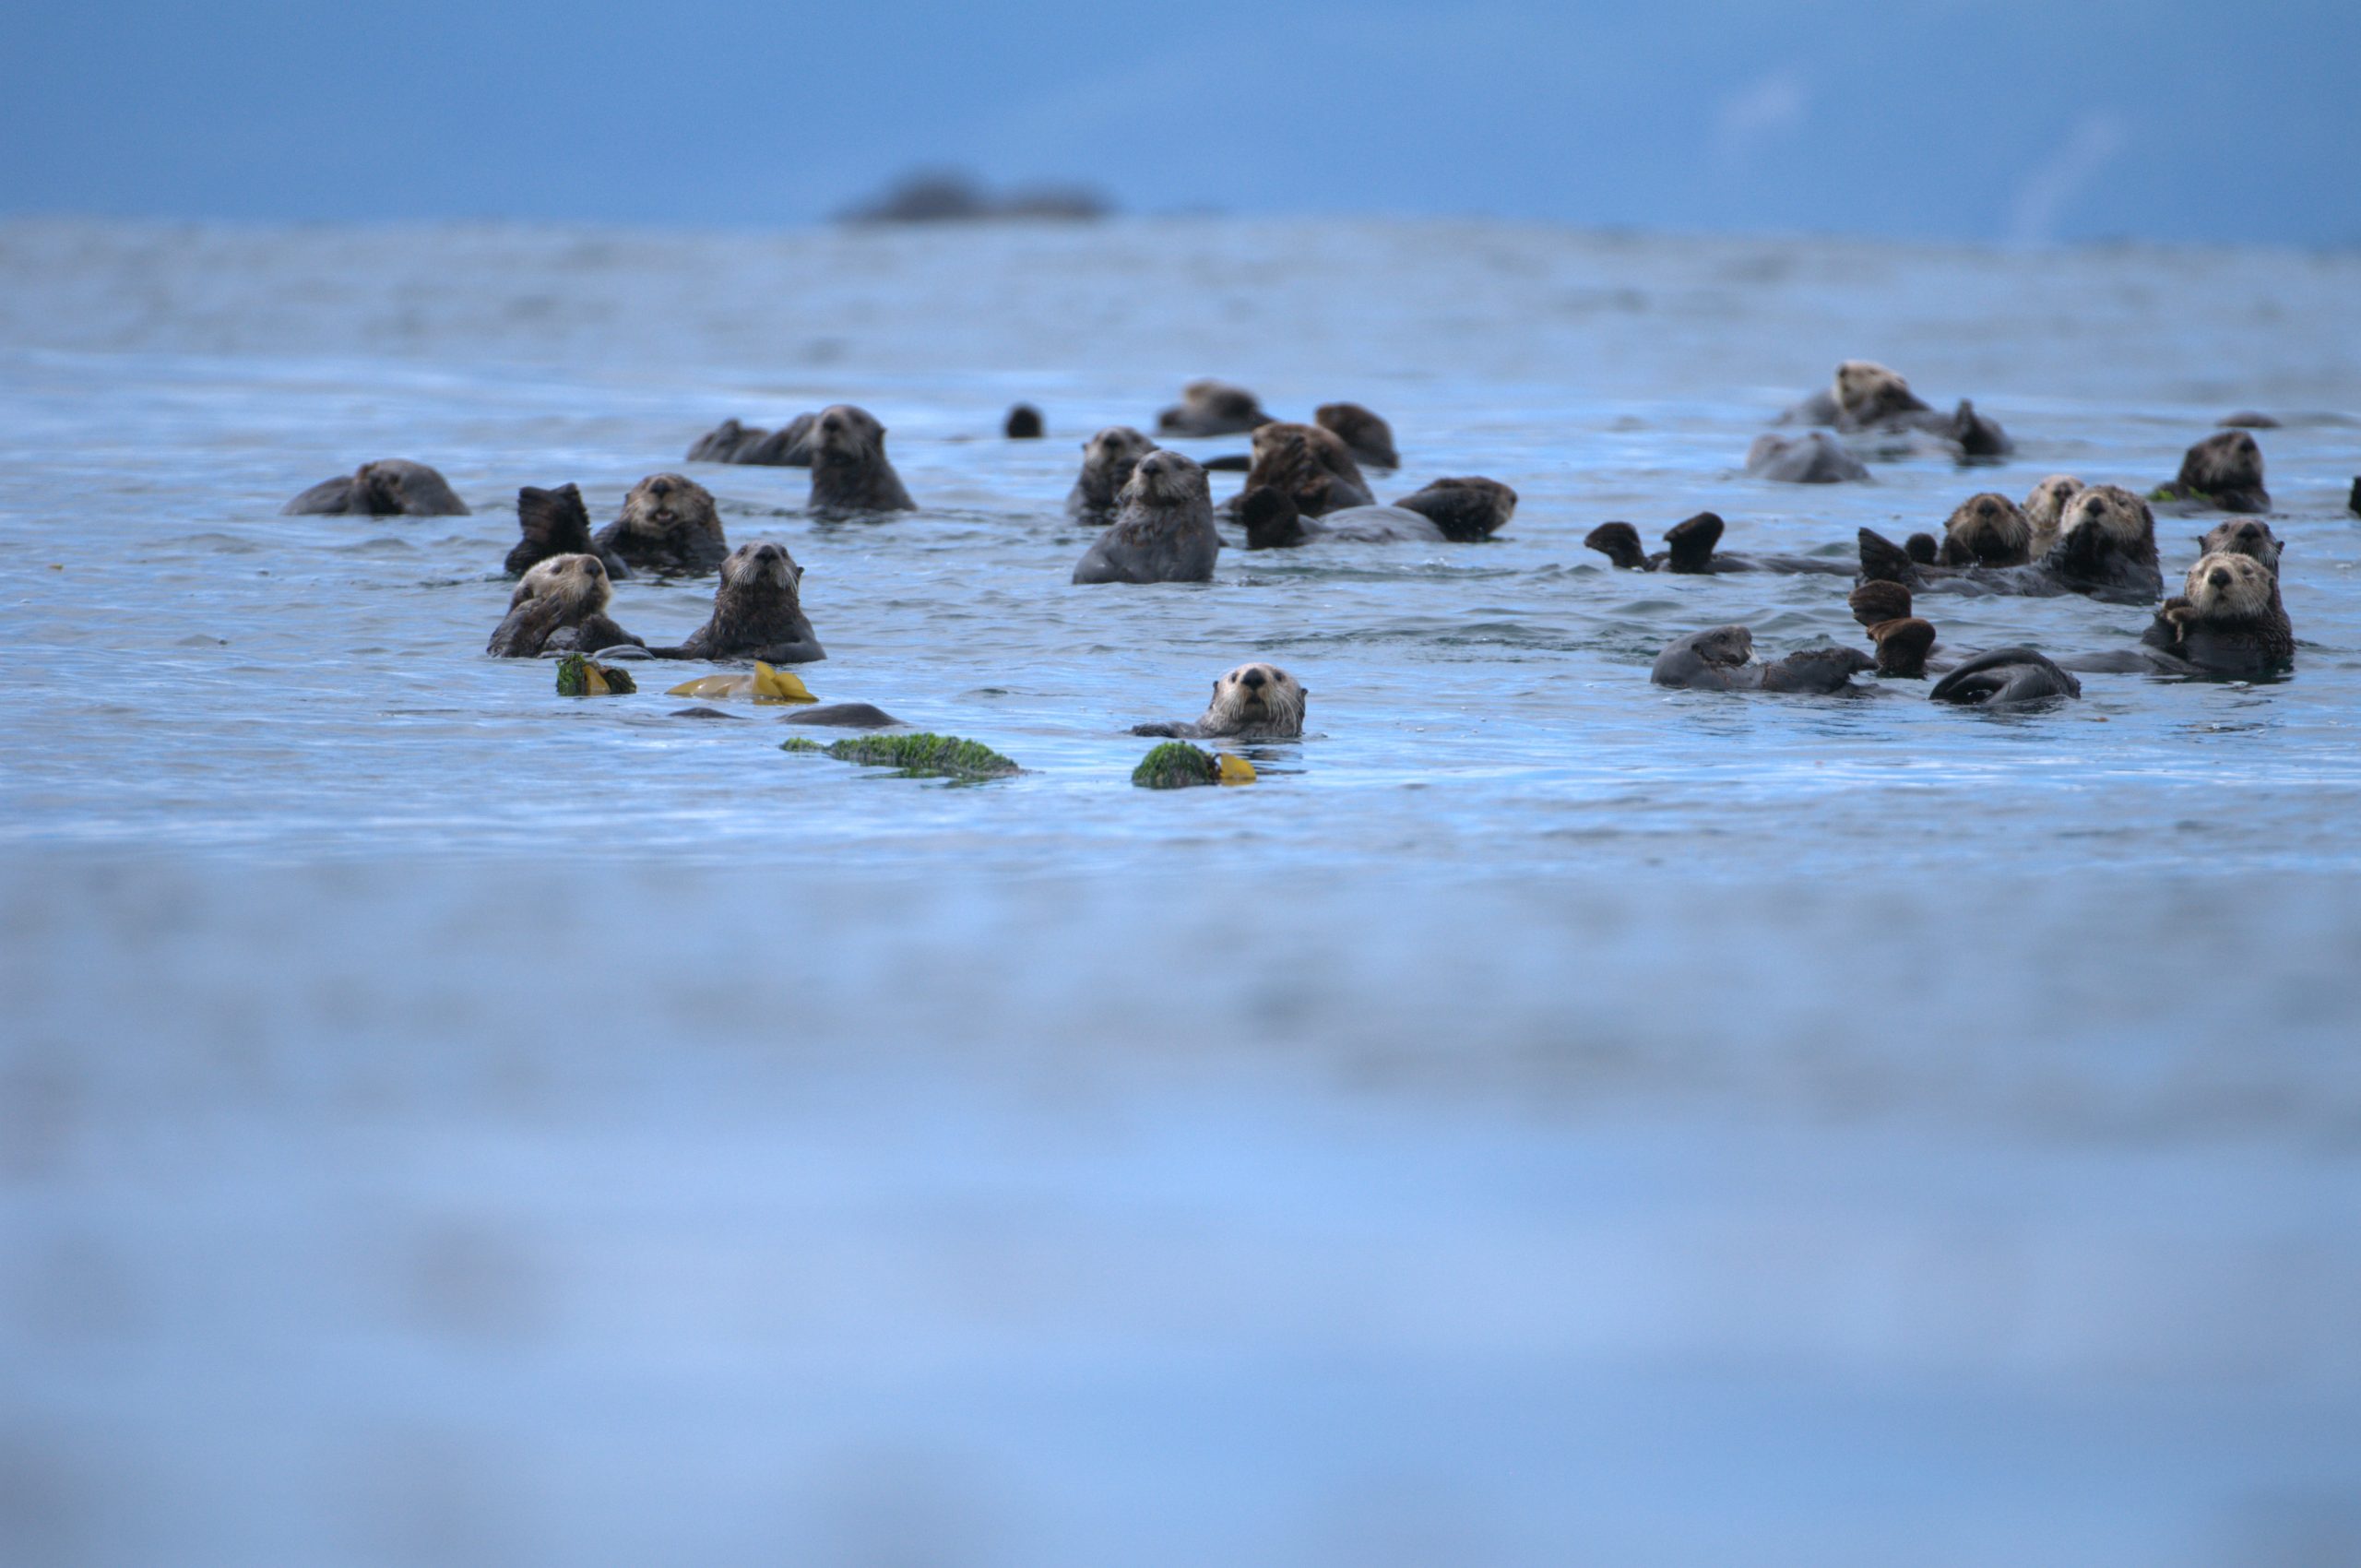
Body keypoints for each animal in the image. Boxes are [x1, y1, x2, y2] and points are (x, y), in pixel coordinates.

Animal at [487, 554, 644, 658]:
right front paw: (543, 607)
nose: (593, 566)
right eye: (557, 569)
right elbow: (507, 648)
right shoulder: (503, 644)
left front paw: (599, 620)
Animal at [592, 473, 729, 575]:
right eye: (643, 485)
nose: (660, 486)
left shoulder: (715, 553)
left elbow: (710, 555)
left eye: (685, 485)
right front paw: (619, 525)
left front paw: (686, 528)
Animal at [651, 540, 824, 664]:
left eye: (784, 552)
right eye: (742, 551)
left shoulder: (804, 632)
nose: (767, 551)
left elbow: (809, 649)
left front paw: (759, 651)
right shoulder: (702, 638)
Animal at [1859, 484, 2162, 603]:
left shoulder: (2136, 576)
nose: (2094, 504)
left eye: (2121, 503)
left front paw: (2089, 536)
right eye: (2077, 503)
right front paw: (2077, 535)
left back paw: (1874, 549)